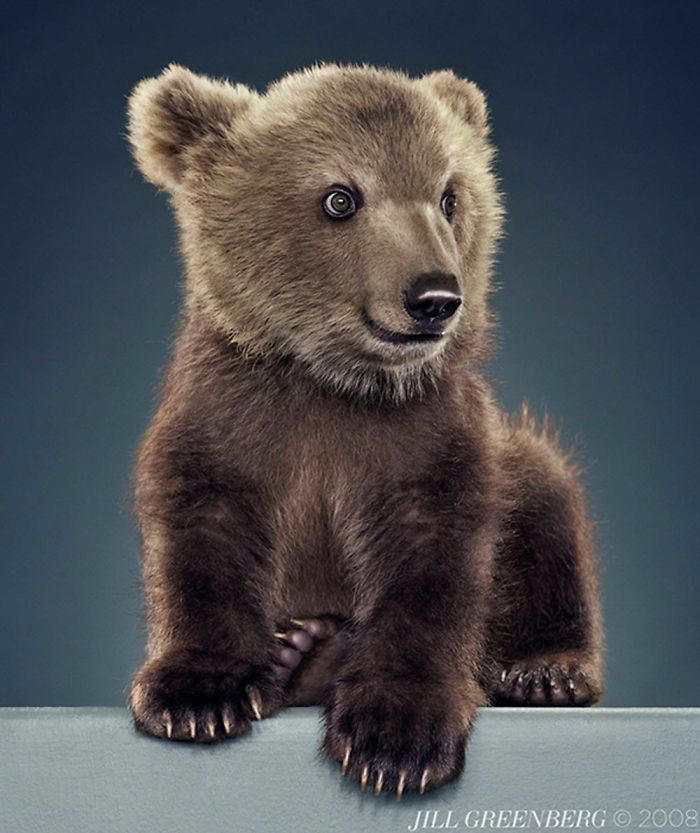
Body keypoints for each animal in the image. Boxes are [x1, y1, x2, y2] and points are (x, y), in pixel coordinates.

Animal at [126, 62, 603, 797]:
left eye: (449, 195)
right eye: (340, 198)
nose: (433, 297)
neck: (336, 382)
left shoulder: (428, 438)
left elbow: (433, 568)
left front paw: (396, 739)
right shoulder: (229, 416)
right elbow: (202, 535)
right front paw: (197, 694)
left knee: (548, 500)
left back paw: (545, 669)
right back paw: (300, 653)